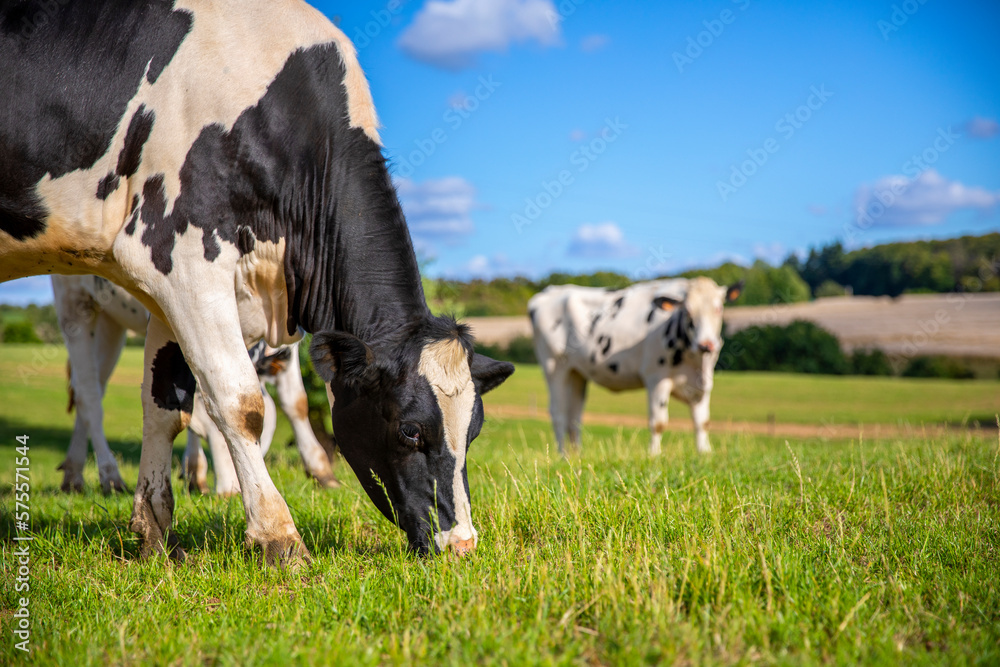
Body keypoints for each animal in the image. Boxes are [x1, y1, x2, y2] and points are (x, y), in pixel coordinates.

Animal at [53, 273, 339, 494]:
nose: (228, 492)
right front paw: (195, 471)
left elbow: (296, 403)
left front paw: (322, 472)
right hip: (73, 303)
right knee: (88, 393)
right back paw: (110, 476)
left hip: (110, 320)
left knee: (93, 386)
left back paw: (73, 474)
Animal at [528, 277, 742, 456]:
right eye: (688, 312)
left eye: (718, 309)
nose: (706, 345)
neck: (694, 361)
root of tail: (550, 291)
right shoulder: (656, 378)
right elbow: (658, 422)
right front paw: (654, 455)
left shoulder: (703, 383)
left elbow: (702, 422)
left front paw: (704, 453)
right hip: (554, 366)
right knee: (558, 413)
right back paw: (562, 455)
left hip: (577, 372)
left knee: (574, 417)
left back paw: (577, 454)